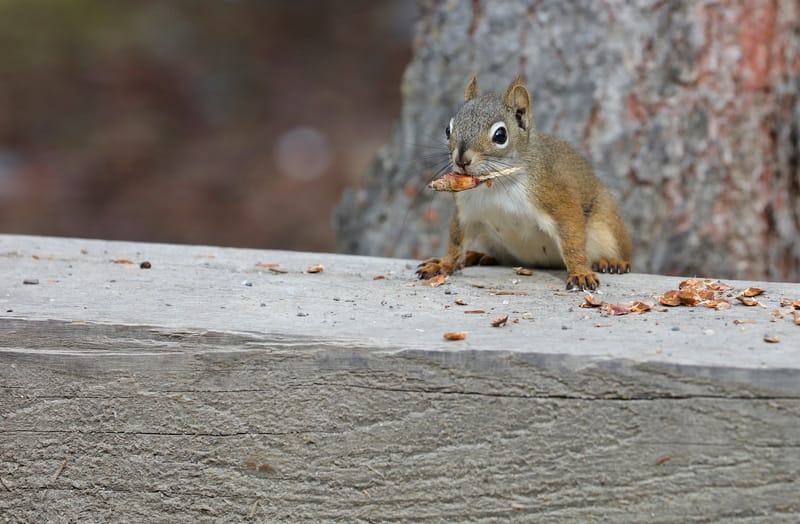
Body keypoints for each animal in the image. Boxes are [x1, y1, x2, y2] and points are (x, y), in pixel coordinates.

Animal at [416, 75, 632, 291]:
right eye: (448, 129)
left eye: (500, 135)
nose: (461, 159)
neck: (497, 183)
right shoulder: (467, 211)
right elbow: (456, 242)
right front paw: (442, 263)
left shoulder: (555, 197)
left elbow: (572, 238)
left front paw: (580, 272)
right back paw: (477, 255)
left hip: (606, 227)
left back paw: (612, 261)